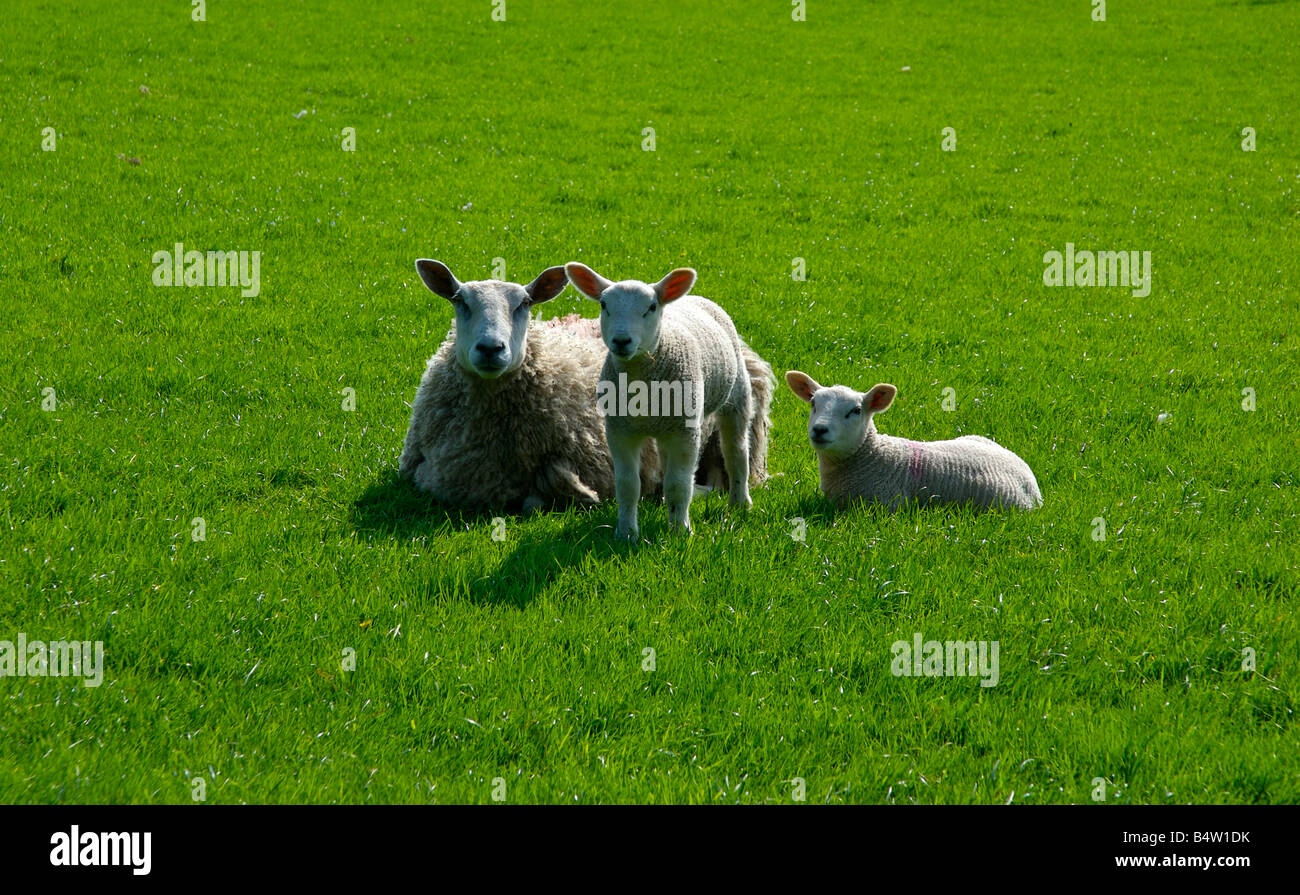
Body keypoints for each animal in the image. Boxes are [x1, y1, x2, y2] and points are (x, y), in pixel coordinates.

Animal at [566, 262, 769, 540]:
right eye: (604, 305)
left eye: (651, 307)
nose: (621, 341)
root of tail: (694, 297)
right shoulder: (619, 430)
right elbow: (627, 485)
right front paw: (626, 533)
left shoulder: (685, 431)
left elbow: (679, 483)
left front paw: (680, 531)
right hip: (666, 425)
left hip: (736, 396)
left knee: (735, 450)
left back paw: (739, 503)